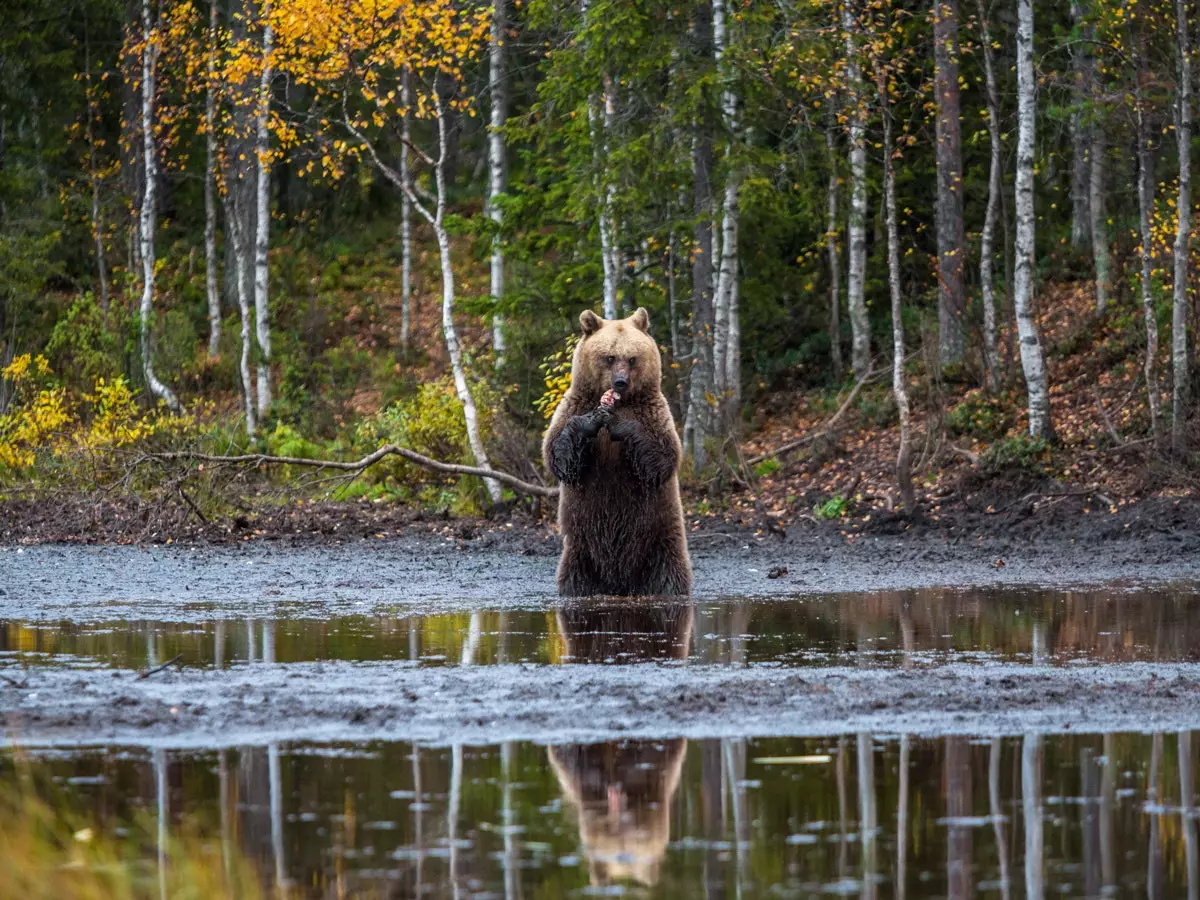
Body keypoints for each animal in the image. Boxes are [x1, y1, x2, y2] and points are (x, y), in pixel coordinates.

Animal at [544, 309, 696, 600]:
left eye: (633, 358)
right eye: (610, 357)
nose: (620, 382)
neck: (622, 402)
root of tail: (620, 583)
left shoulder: (654, 414)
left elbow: (661, 460)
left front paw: (617, 423)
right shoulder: (572, 406)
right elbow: (559, 457)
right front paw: (592, 419)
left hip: (660, 541)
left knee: (669, 575)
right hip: (581, 551)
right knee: (575, 579)